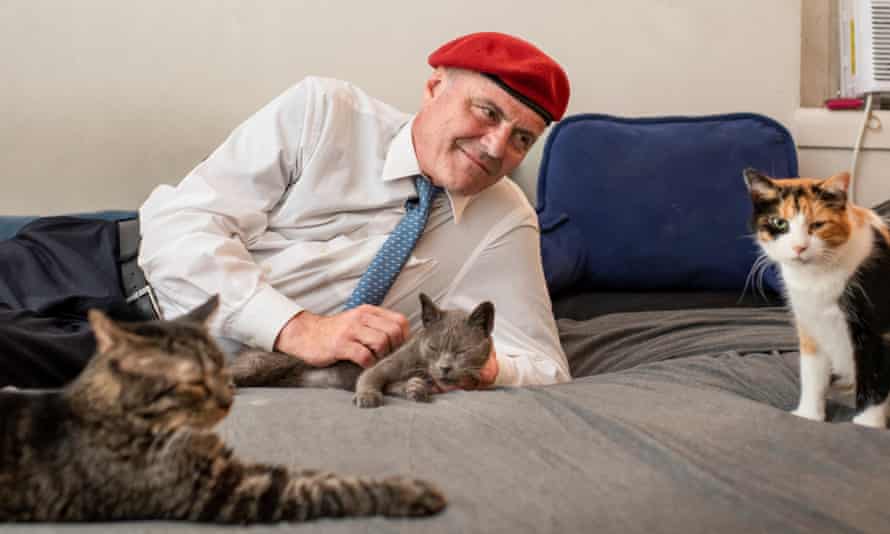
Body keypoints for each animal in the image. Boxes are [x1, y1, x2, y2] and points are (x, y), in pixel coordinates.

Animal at [229, 294, 492, 410]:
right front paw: (367, 396)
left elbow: (399, 385)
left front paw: (416, 388)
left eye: (463, 351)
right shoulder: (383, 364)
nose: (445, 367)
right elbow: (370, 377)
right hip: (264, 363)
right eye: (433, 347)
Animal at [740, 170, 888, 430]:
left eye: (817, 225)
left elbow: (873, 377)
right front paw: (808, 416)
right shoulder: (809, 322)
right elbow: (812, 373)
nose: (799, 247)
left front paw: (867, 425)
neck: (817, 278)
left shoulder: (874, 329)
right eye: (779, 223)